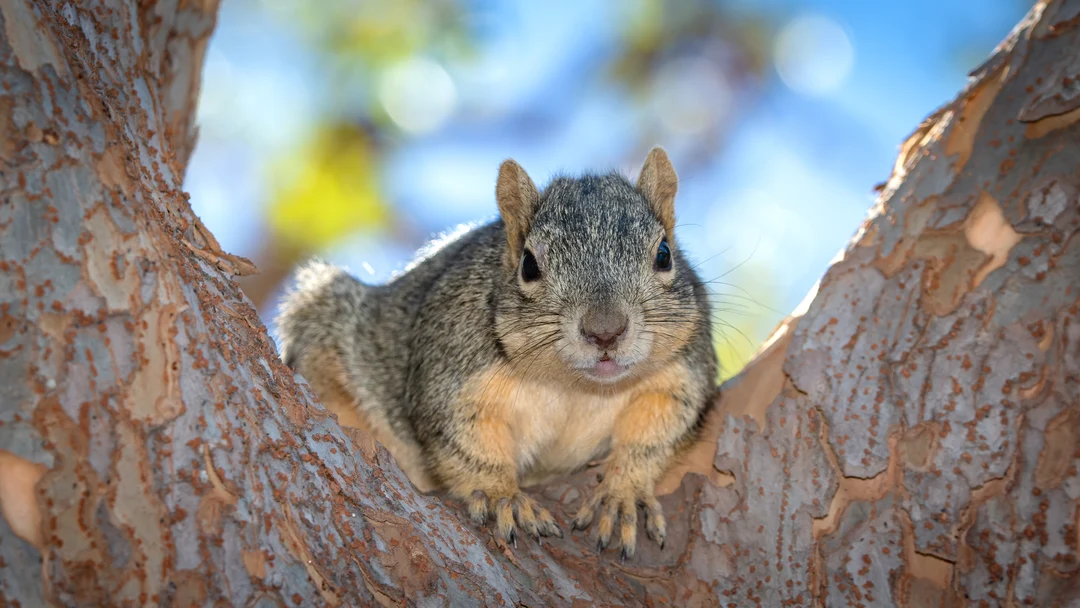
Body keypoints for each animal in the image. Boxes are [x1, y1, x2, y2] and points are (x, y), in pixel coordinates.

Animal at [275, 147, 718, 558]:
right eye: (529, 265)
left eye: (664, 255)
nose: (605, 331)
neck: (577, 386)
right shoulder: (452, 371)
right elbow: (466, 443)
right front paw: (502, 494)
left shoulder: (679, 374)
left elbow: (656, 435)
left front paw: (623, 491)